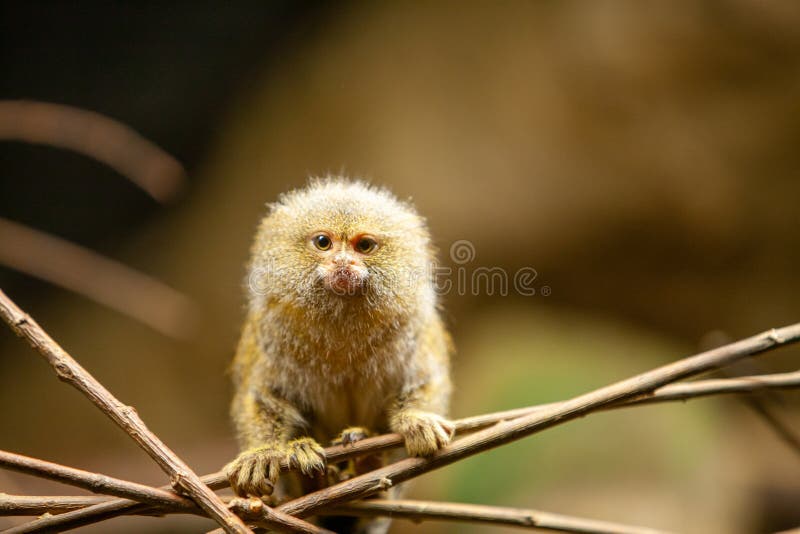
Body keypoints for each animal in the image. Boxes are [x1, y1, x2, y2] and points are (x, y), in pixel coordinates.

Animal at [224, 177, 453, 532]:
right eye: (323, 242)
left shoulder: (413, 328)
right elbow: (261, 396)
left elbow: (427, 381)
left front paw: (416, 420)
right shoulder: (271, 333)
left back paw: (367, 466)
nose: (343, 263)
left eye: (364, 246)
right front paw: (262, 453)